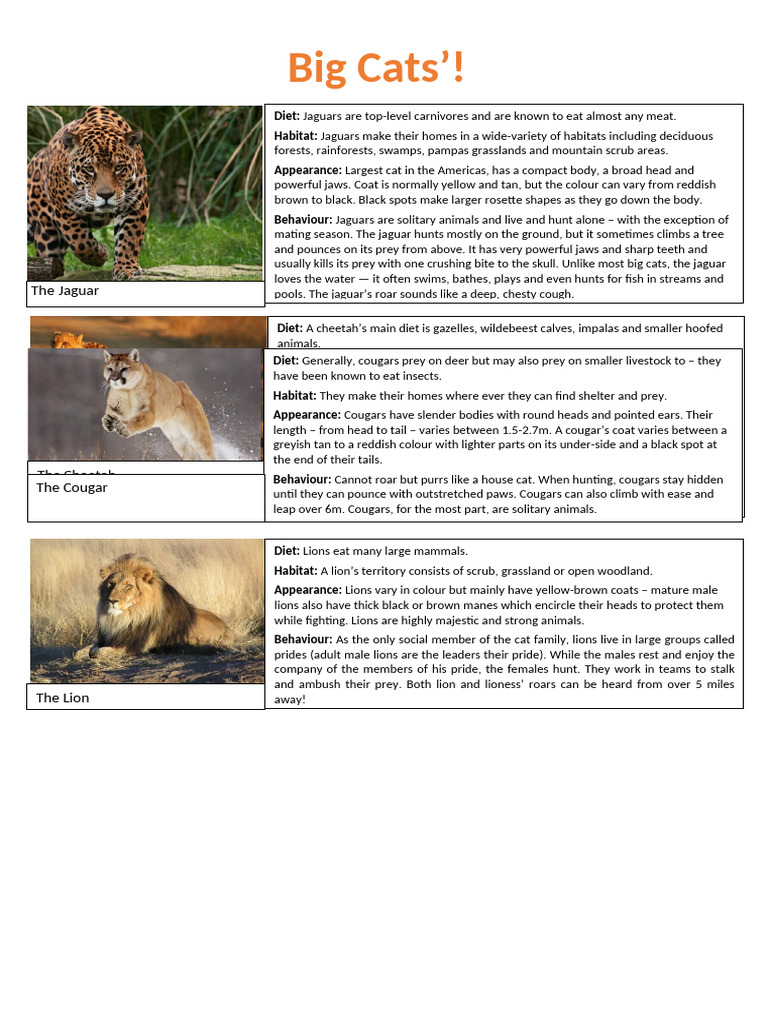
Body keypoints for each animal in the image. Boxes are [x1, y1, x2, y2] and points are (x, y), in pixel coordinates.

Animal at [27, 106, 149, 281]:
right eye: (89, 168)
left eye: (119, 168)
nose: (106, 195)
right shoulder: (64, 210)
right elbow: (80, 242)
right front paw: (101, 255)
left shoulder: (135, 204)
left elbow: (129, 239)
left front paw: (126, 269)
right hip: (47, 233)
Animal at [79, 554, 234, 659]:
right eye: (111, 583)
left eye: (128, 586)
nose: (112, 600)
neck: (125, 617)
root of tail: (227, 628)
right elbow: (81, 651)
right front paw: (83, 652)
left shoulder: (135, 646)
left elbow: (100, 651)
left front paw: (95, 652)